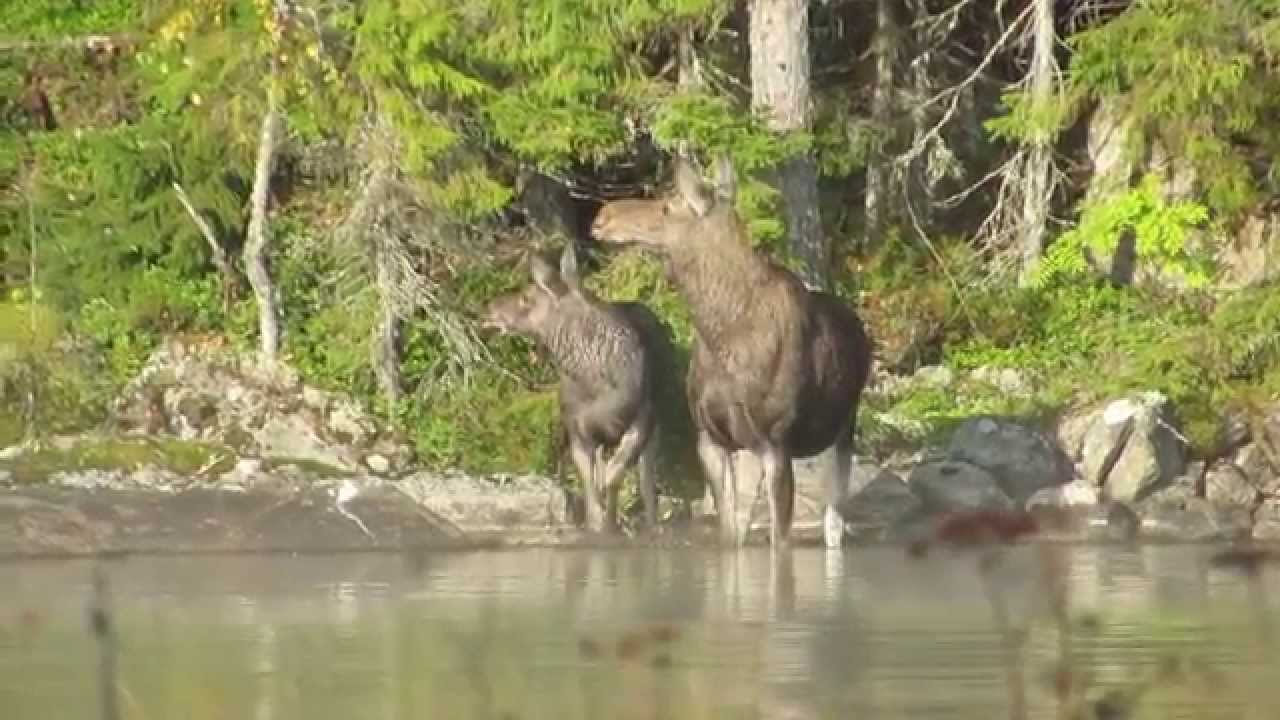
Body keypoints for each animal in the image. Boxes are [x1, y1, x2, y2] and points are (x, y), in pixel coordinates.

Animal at [482, 243, 665, 534]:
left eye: (526, 297)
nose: (489, 309)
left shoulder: (642, 420)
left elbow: (614, 476)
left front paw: (610, 526)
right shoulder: (576, 427)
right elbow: (590, 482)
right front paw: (598, 525)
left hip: (654, 422)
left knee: (645, 479)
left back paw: (652, 526)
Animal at [591, 157, 873, 549]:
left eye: (667, 206)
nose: (602, 217)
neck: (722, 334)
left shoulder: (776, 443)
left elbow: (780, 541)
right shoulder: (712, 439)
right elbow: (729, 534)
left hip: (842, 430)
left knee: (833, 521)